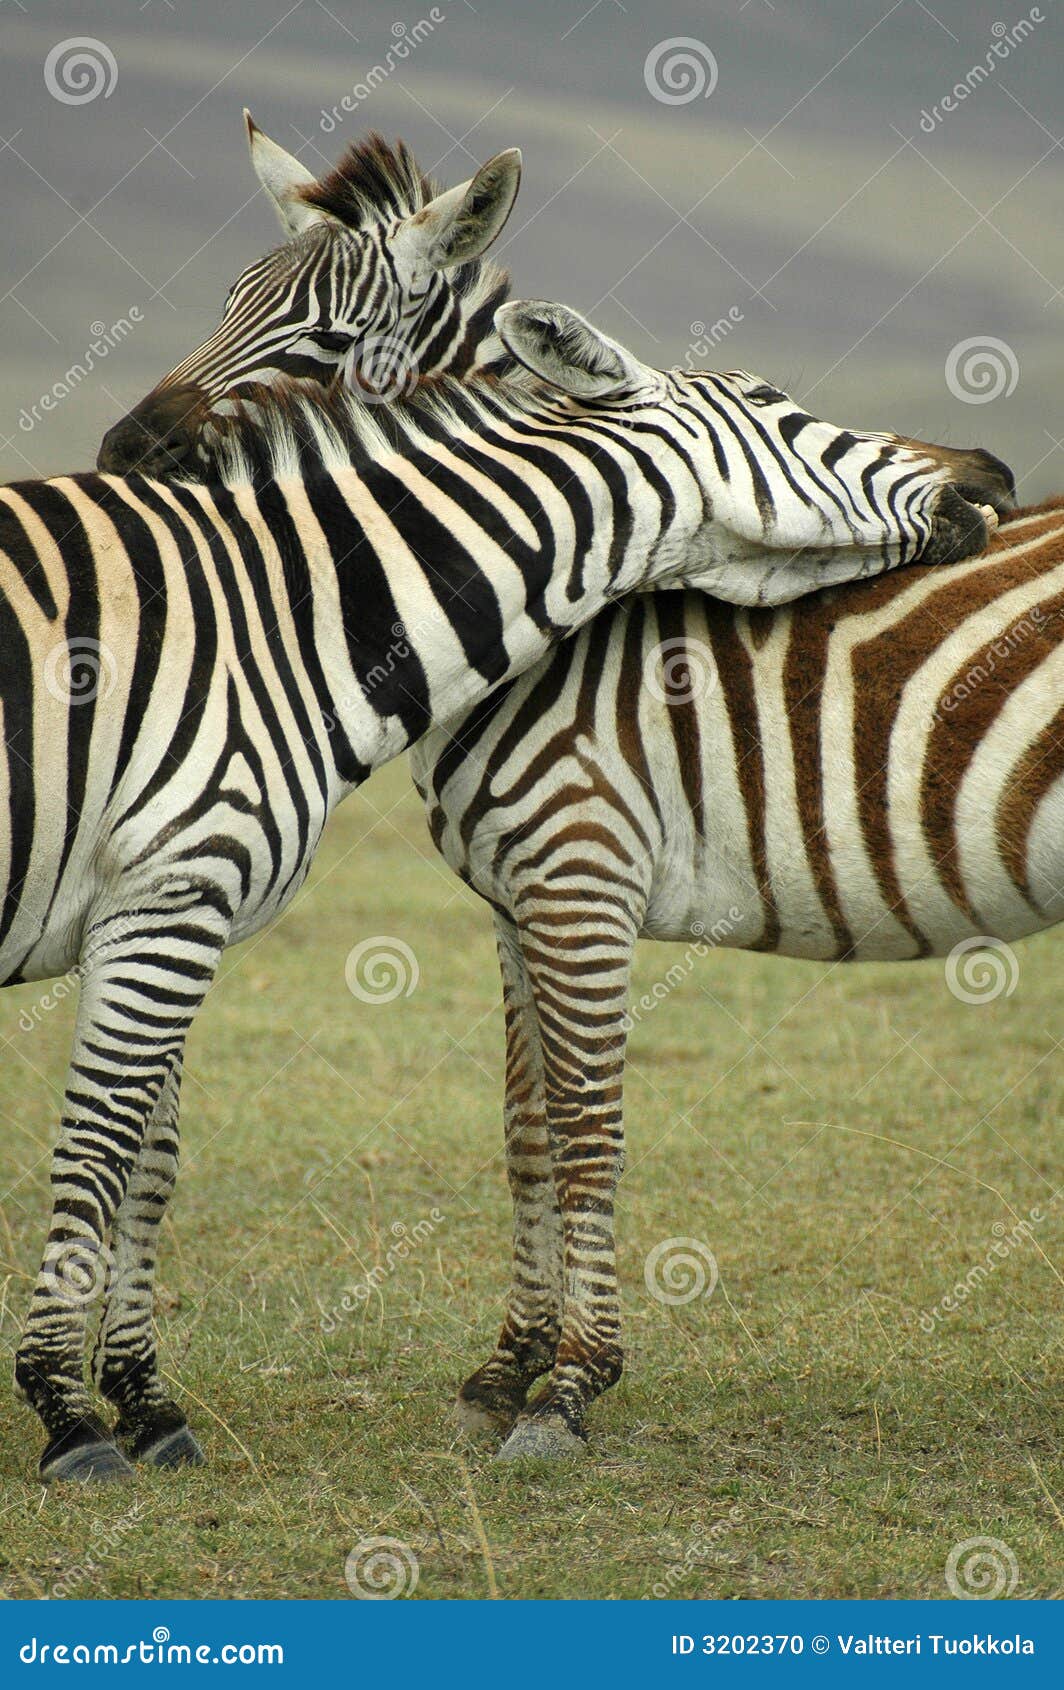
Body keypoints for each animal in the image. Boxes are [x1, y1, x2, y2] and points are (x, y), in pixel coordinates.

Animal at [5, 302, 982, 1483]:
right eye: (778, 406)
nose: (985, 482)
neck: (281, 621)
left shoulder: (162, 904)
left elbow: (147, 1158)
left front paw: (141, 1401)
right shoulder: (172, 890)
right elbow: (99, 1145)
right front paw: (70, 1413)